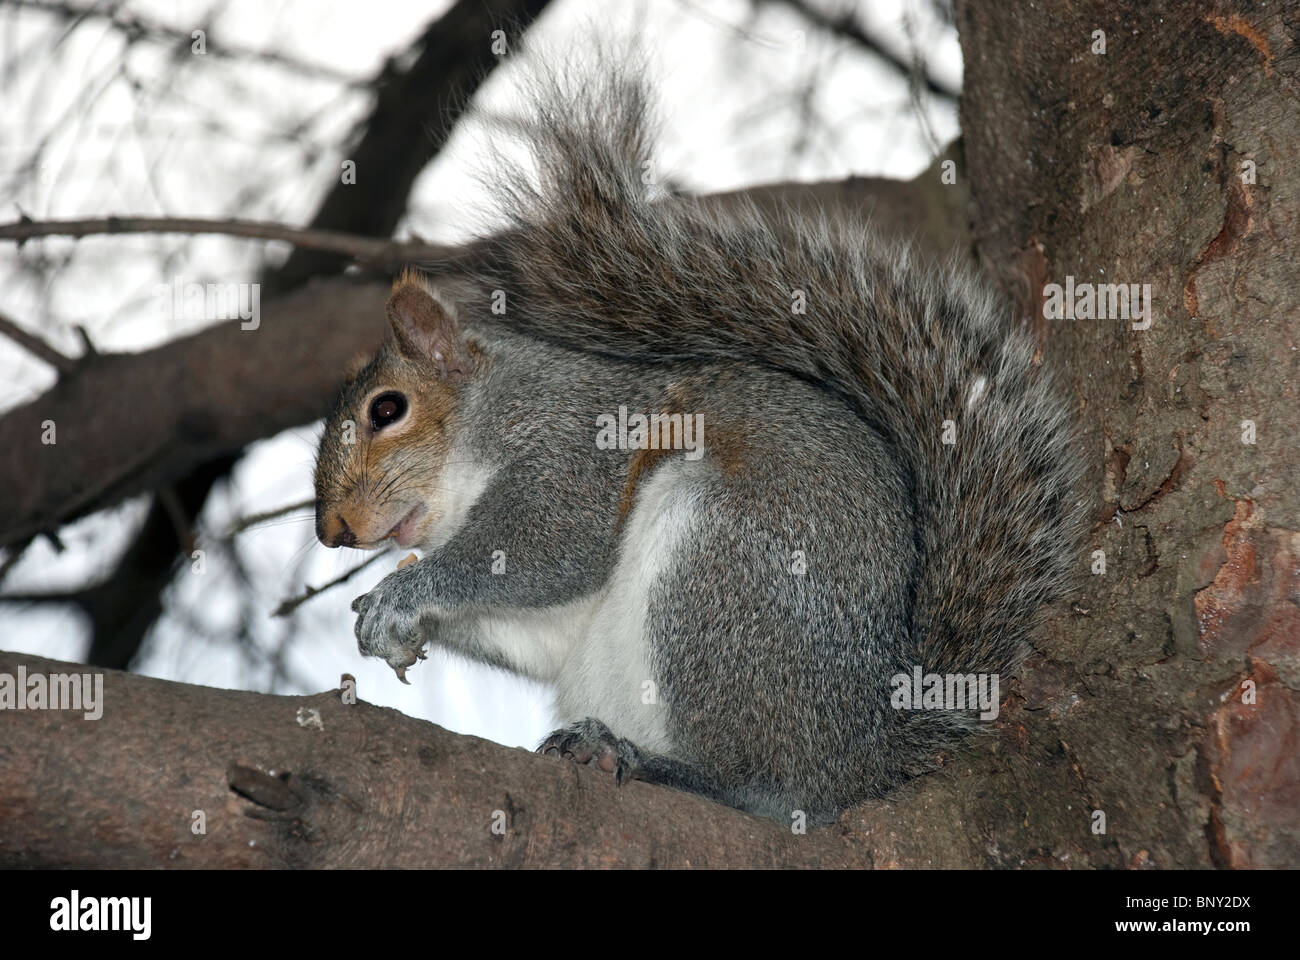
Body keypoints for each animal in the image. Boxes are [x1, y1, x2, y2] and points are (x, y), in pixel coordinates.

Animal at [313, 63, 1084, 824]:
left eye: (388, 409)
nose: (333, 531)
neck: (482, 423)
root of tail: (865, 753)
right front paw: (389, 619)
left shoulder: (573, 444)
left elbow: (552, 545)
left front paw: (403, 591)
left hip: (718, 570)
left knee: (768, 785)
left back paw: (661, 765)